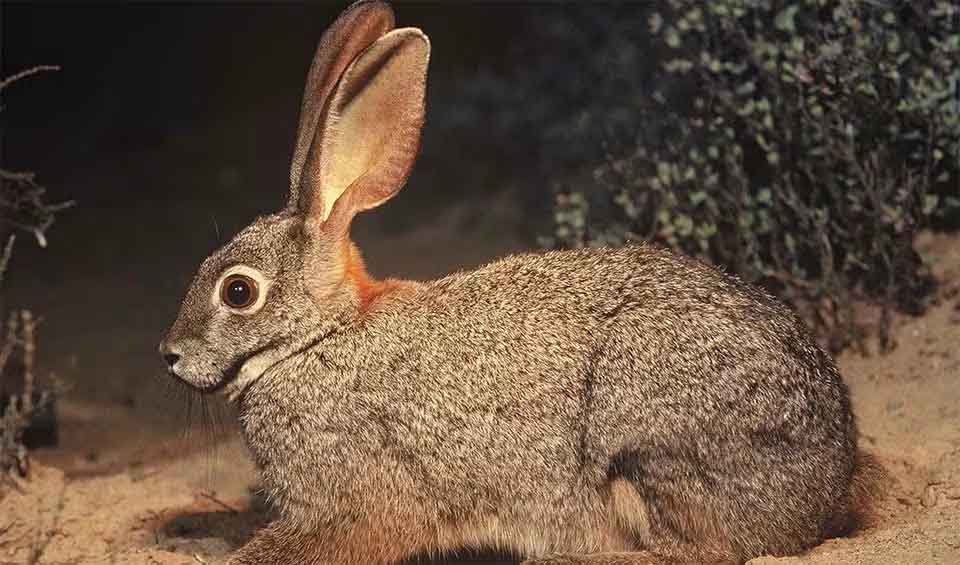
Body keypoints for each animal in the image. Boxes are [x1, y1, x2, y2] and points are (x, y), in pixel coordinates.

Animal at [159, 1, 882, 564]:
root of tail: (829, 482)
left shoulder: (353, 500)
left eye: (238, 292)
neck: (315, 340)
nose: (169, 355)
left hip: (648, 440)